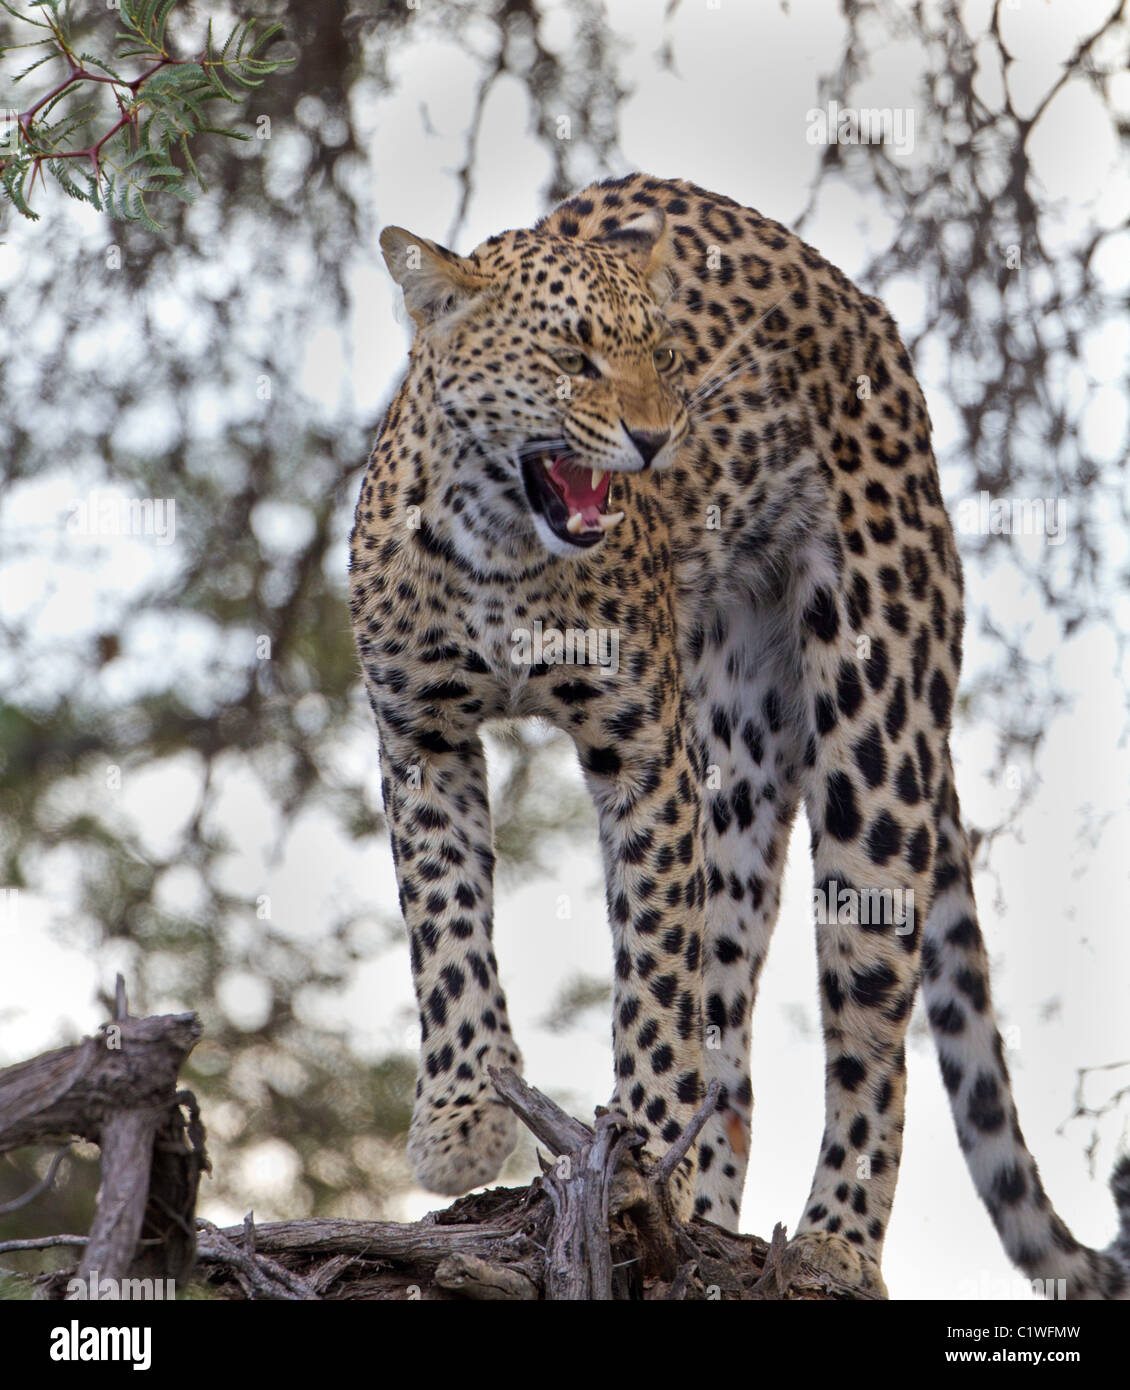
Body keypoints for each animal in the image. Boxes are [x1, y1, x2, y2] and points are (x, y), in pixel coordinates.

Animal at [348, 172, 1130, 1298]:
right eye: (574, 356)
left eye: (664, 357)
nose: (654, 440)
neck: (502, 548)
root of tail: (869, 319)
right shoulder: (421, 738)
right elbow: (446, 932)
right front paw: (463, 1116)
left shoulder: (642, 753)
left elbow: (654, 971)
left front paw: (642, 1142)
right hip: (740, 762)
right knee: (734, 1025)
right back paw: (705, 1218)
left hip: (874, 735)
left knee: (872, 1032)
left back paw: (833, 1237)